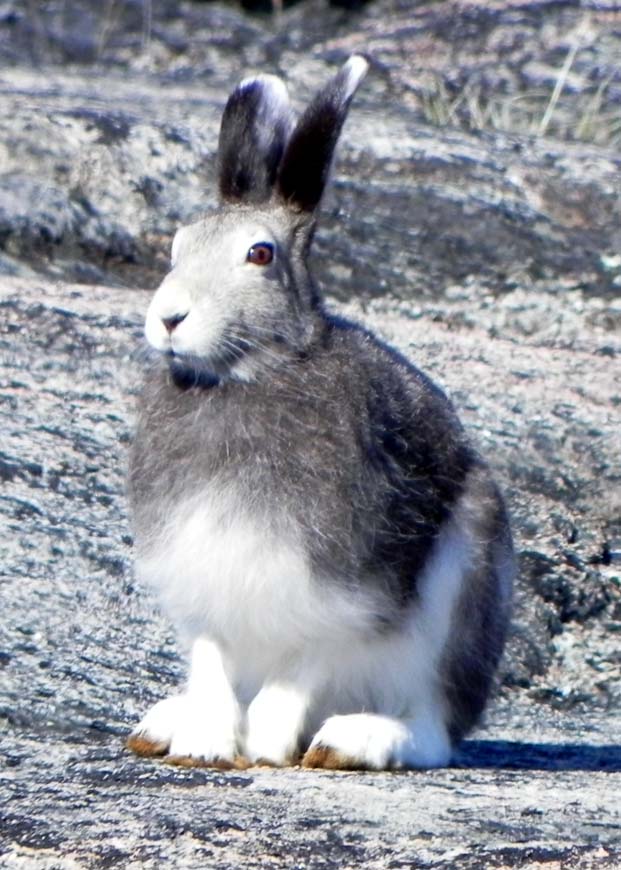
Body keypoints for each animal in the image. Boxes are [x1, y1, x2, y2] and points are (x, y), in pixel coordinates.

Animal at [126, 55, 514, 771]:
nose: (169, 317)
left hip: (462, 587)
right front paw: (207, 746)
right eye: (177, 246)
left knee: (432, 728)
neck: (250, 373)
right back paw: (165, 723)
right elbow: (214, 663)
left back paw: (351, 740)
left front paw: (265, 747)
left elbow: (299, 668)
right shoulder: (203, 581)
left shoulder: (341, 586)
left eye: (259, 254)